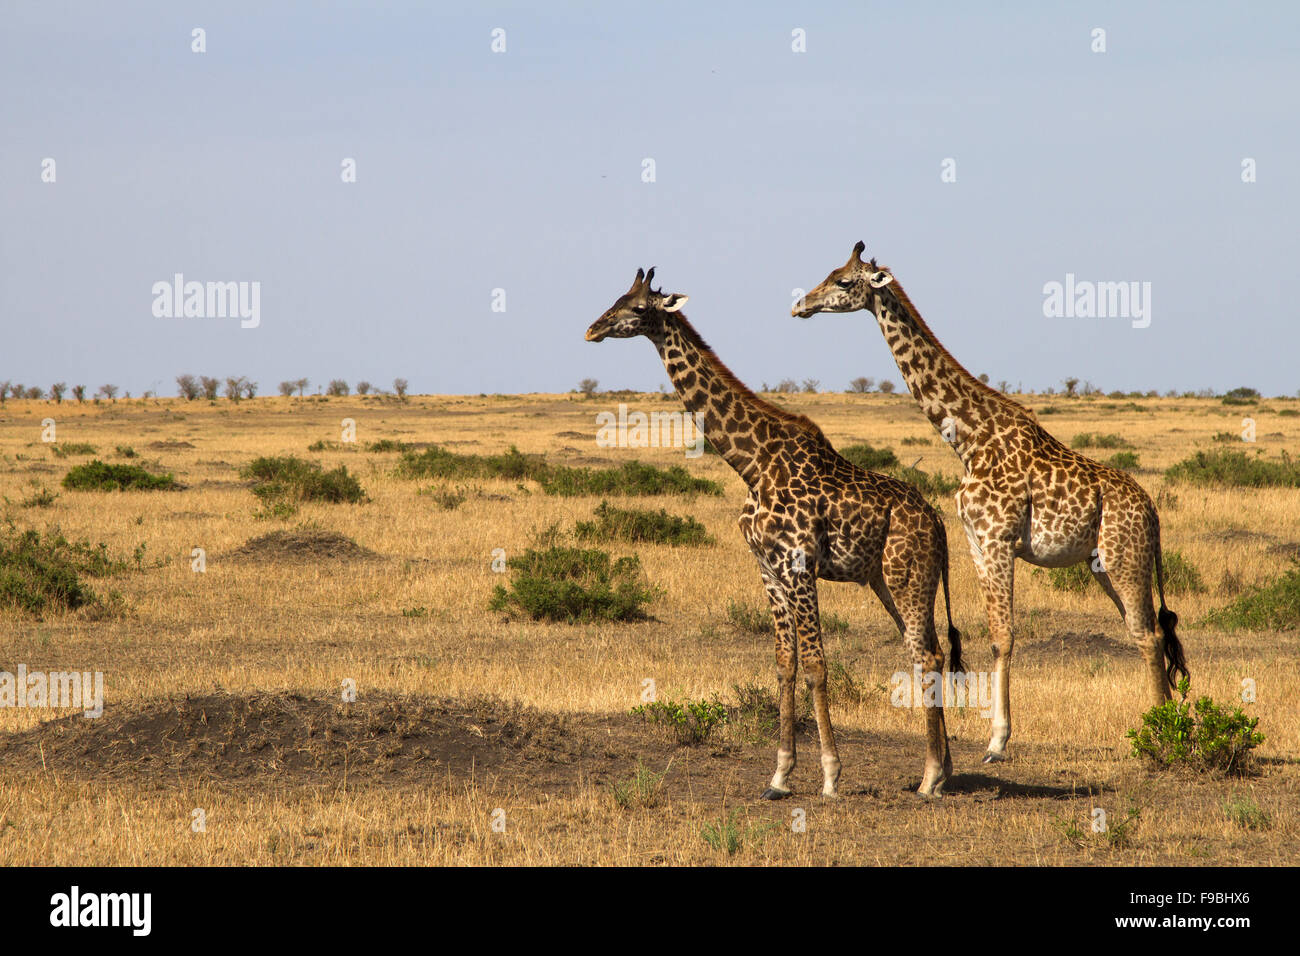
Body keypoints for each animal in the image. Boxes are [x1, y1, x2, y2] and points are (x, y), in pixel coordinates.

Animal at [586, 267, 964, 797]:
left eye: (639, 307)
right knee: (928, 653)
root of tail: (939, 524)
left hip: (907, 578)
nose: (592, 329)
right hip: (892, 582)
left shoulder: (799, 565)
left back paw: (930, 777)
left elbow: (816, 666)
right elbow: (785, 665)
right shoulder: (767, 569)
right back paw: (943, 770)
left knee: (927, 658)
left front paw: (830, 775)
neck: (751, 464)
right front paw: (780, 775)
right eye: (617, 297)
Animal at [794, 241, 1189, 762]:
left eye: (842, 280)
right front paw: (993, 736)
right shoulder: (977, 544)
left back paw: (1161, 733)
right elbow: (992, 634)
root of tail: (1154, 514)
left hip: (1126, 559)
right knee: (1149, 632)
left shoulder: (999, 540)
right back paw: (1161, 725)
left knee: (1149, 634)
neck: (968, 439)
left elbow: (1004, 636)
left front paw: (997, 742)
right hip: (1105, 564)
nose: (800, 305)